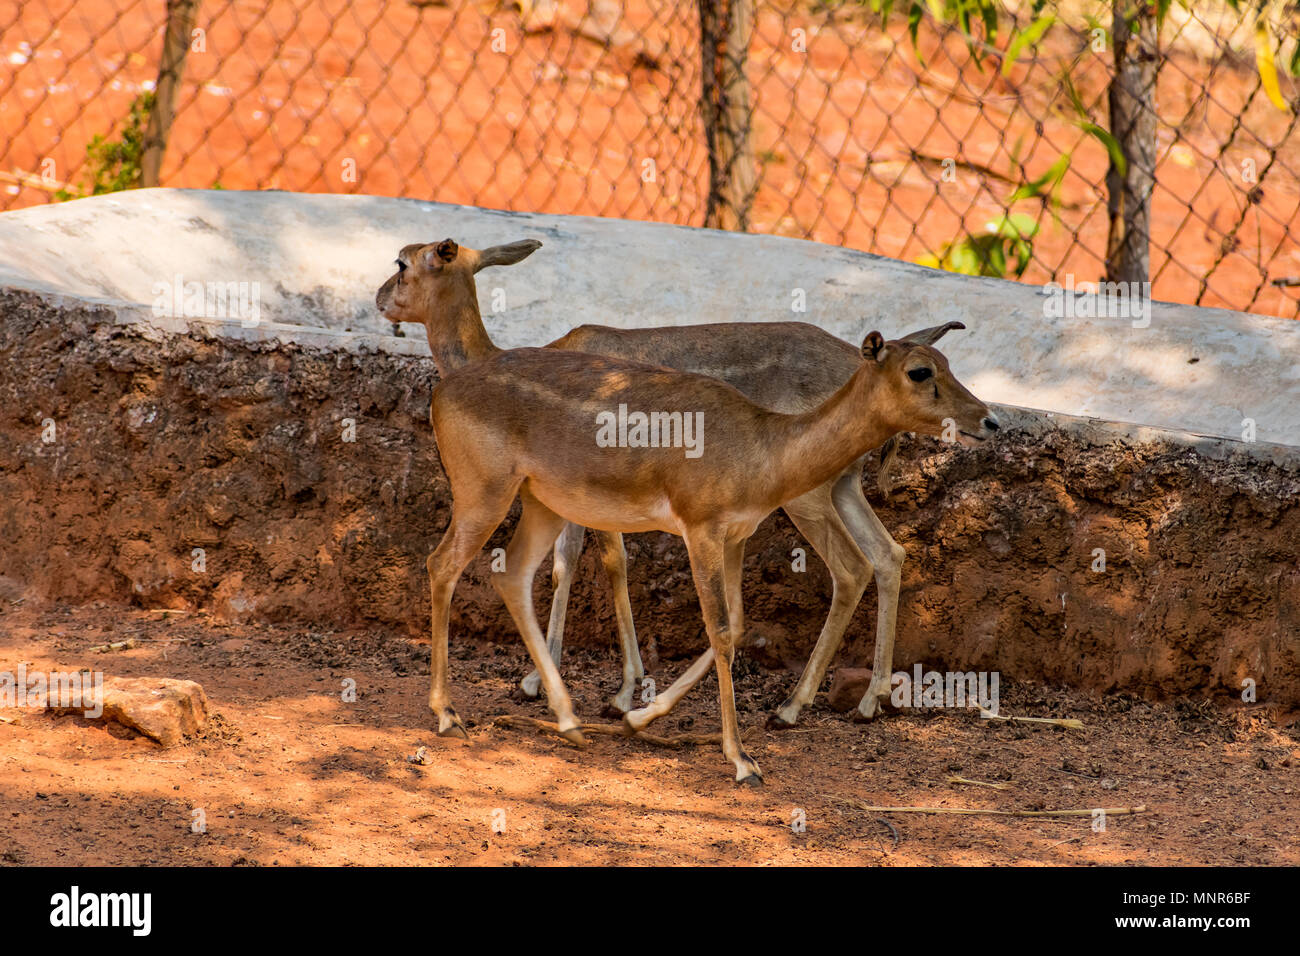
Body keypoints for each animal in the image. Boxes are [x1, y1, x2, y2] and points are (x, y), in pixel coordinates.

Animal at [376, 237, 978, 727]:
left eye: (402, 262)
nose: (380, 299)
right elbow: (570, 563)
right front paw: (553, 683)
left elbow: (602, 563)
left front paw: (616, 691)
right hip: (843, 487)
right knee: (889, 554)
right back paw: (869, 699)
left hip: (807, 496)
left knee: (851, 568)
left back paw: (791, 707)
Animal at [425, 334, 997, 783]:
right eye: (920, 370)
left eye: (949, 361)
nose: (988, 420)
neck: (761, 451)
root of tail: (440, 392)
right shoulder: (699, 528)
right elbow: (720, 630)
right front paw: (743, 760)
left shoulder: (737, 535)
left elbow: (739, 624)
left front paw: (637, 717)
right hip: (483, 492)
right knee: (442, 564)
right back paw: (449, 715)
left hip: (540, 502)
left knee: (513, 575)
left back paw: (569, 721)